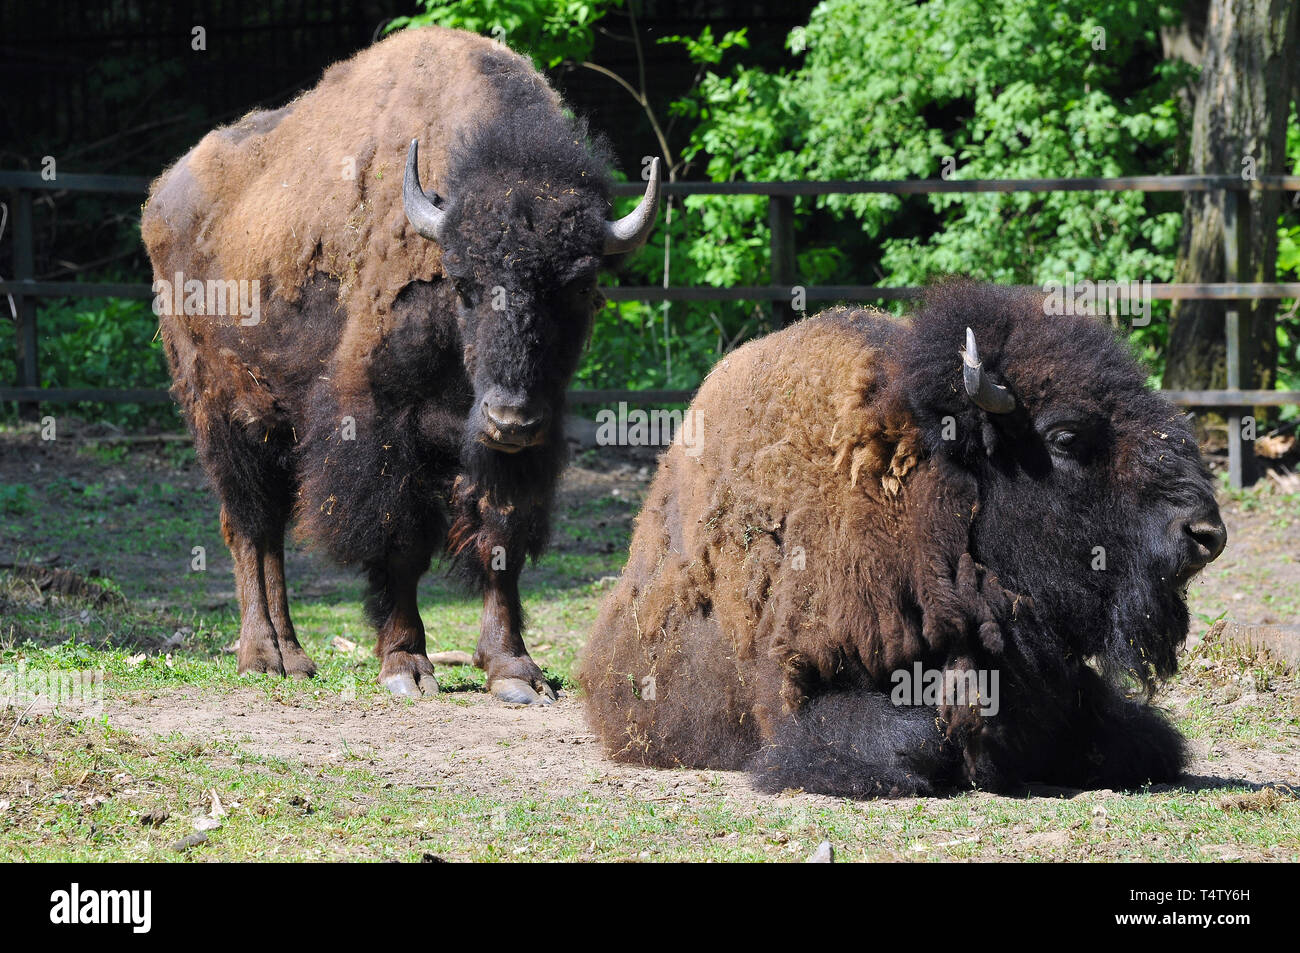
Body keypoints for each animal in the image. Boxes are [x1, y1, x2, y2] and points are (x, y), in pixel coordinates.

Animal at [142, 27, 659, 703]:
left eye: (579, 287)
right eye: (463, 283)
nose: (510, 417)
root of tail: (164, 194)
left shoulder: (515, 449)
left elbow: (501, 538)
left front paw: (514, 671)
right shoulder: (381, 424)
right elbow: (400, 541)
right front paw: (406, 666)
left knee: (271, 529)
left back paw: (296, 657)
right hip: (220, 409)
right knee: (249, 525)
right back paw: (264, 656)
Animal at [579, 282, 1226, 795]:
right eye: (1065, 437)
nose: (1205, 533)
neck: (920, 504)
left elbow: (1143, 741)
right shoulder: (806, 690)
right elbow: (912, 740)